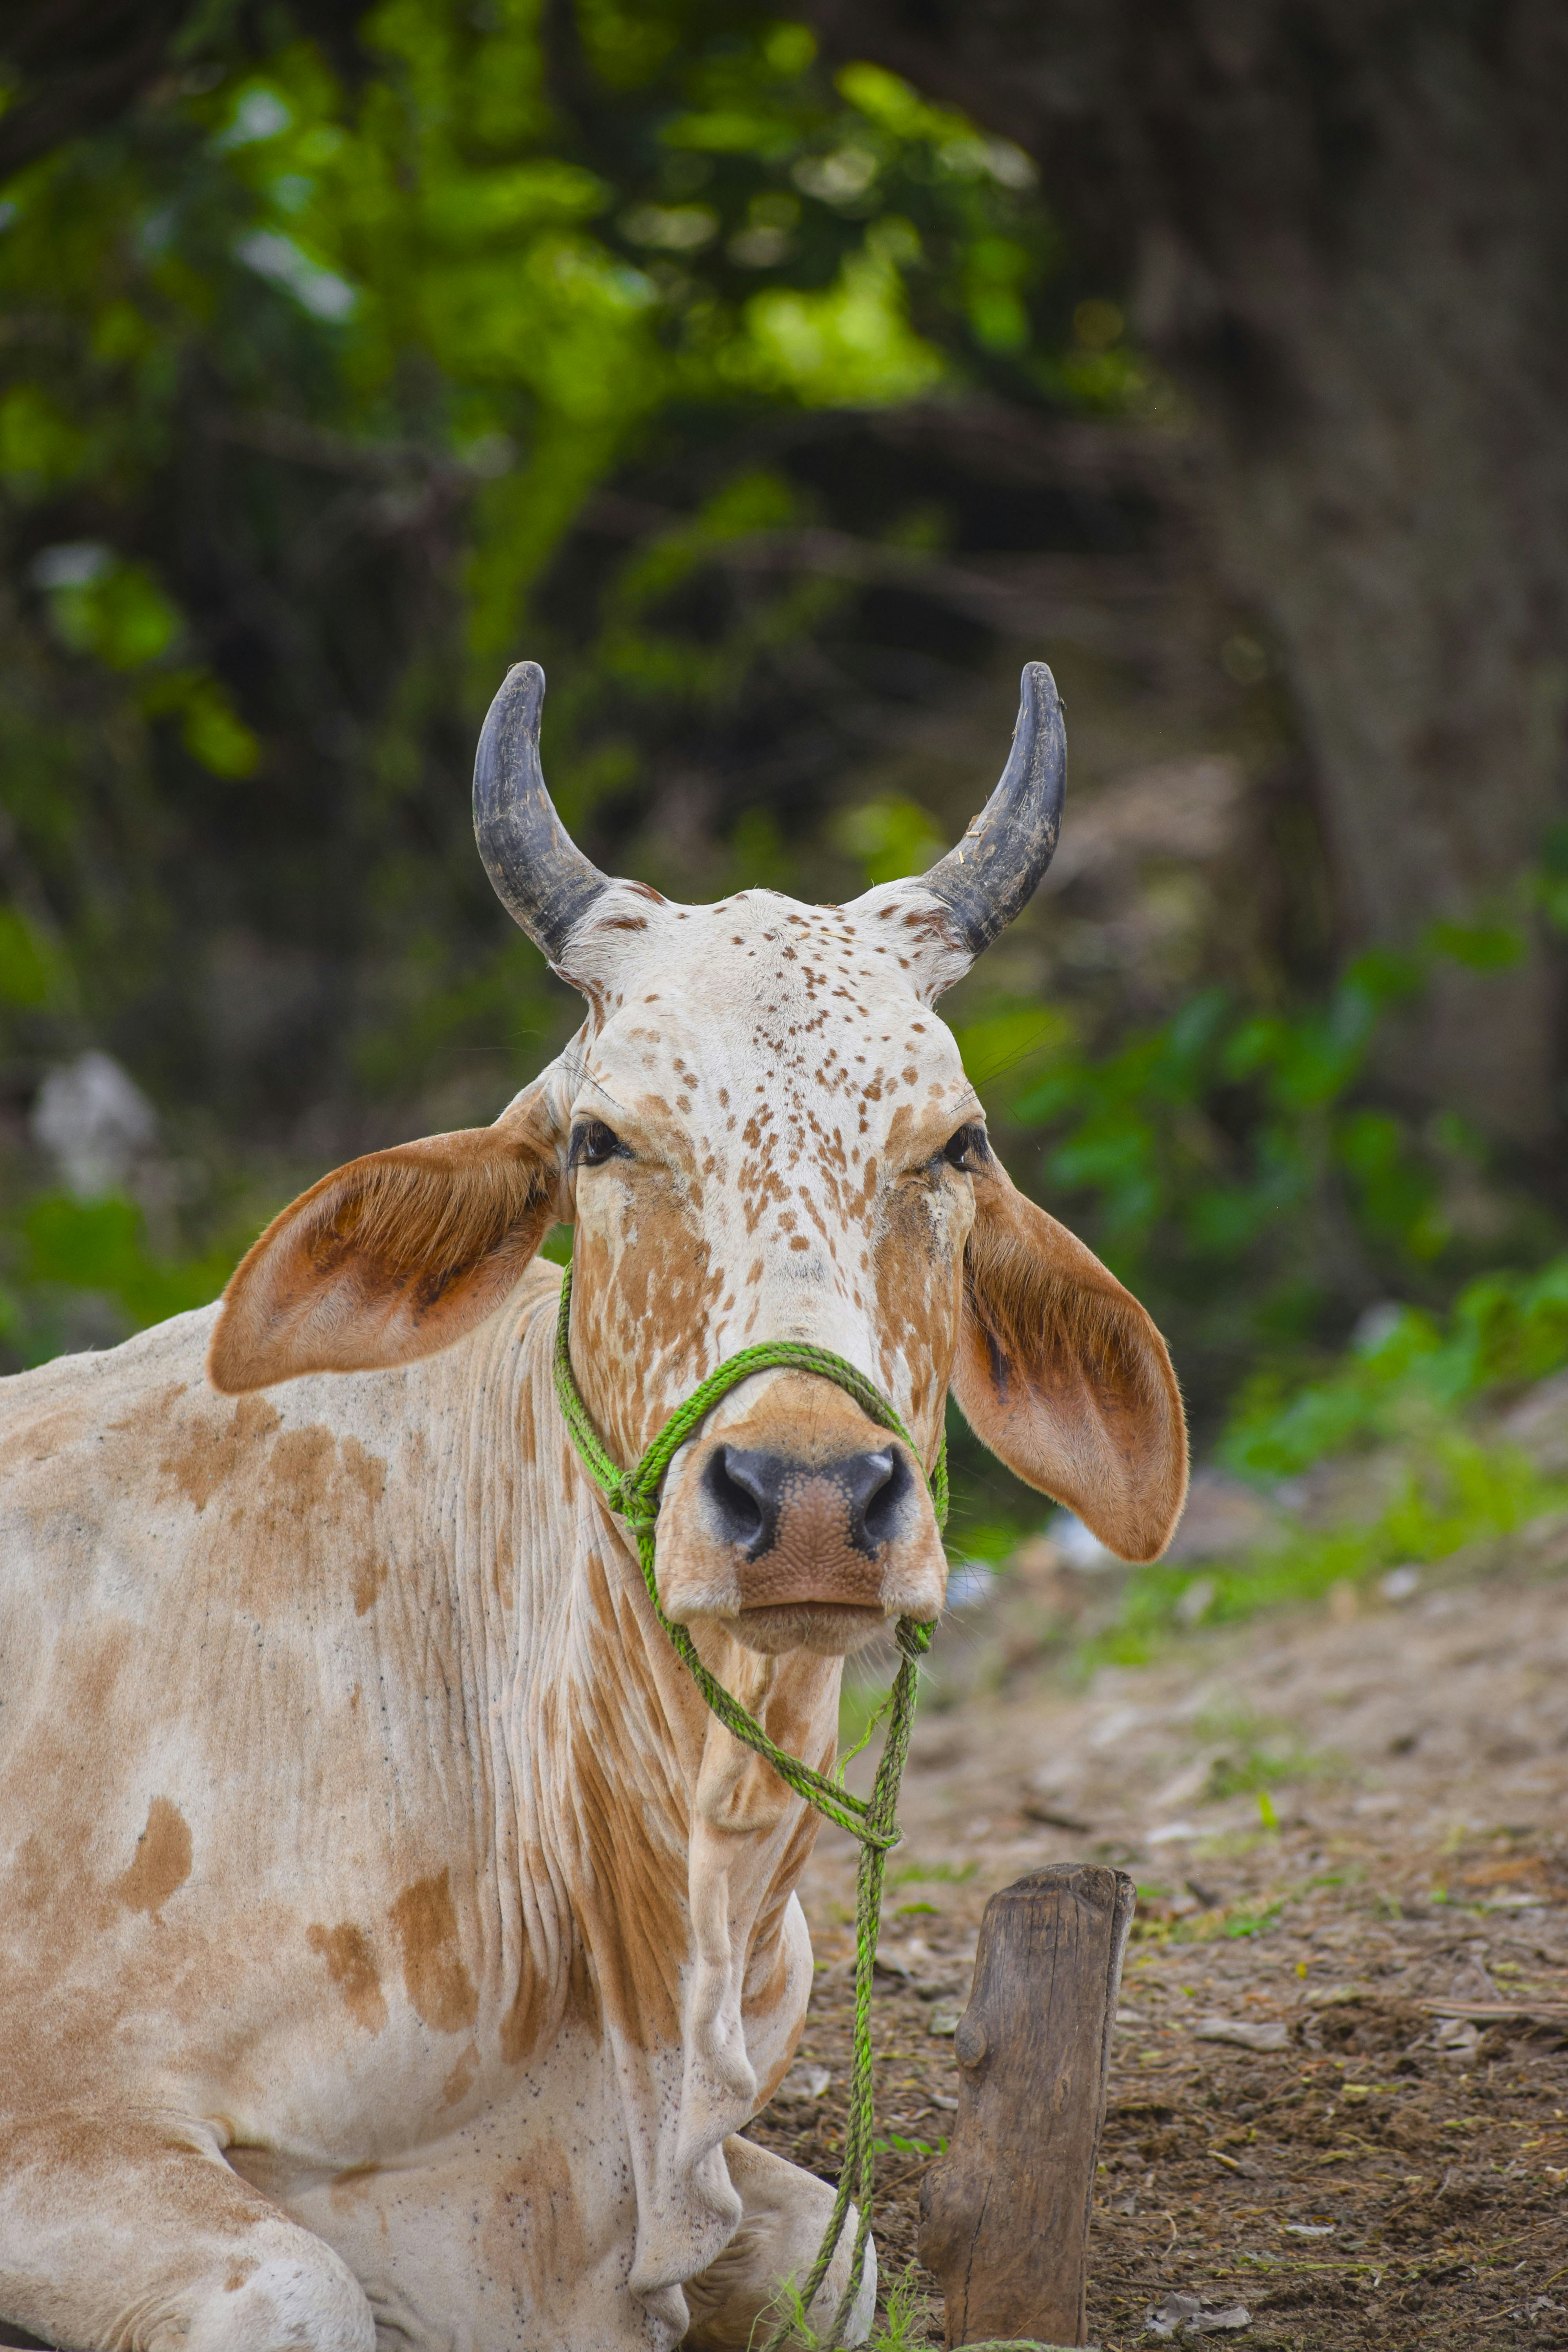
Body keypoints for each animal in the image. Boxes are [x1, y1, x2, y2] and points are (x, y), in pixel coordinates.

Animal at [0, 661, 1185, 2352]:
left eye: (954, 1144)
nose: (809, 1497)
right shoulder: (71, 2127)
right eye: (600, 1139)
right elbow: (296, 2287)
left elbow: (842, 2259)